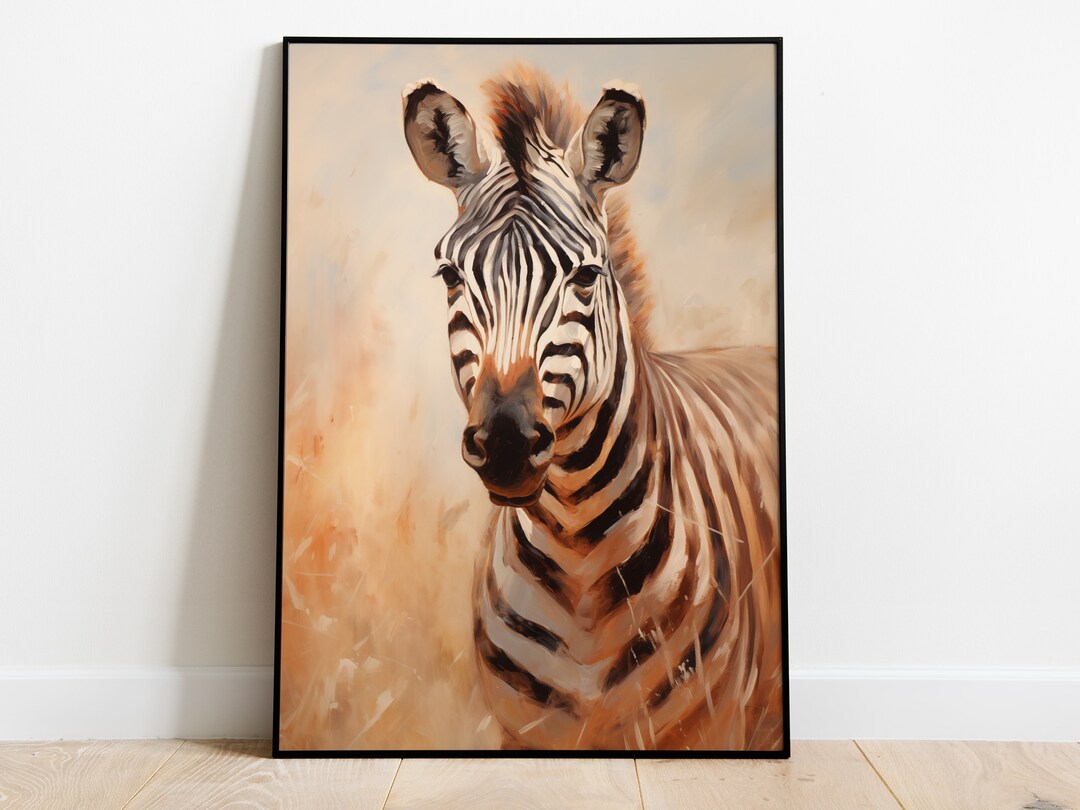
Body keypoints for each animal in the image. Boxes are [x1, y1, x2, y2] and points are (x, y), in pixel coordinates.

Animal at [402, 68, 784, 751]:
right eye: (449, 275)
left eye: (584, 276)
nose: (505, 443)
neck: (578, 560)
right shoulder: (526, 737)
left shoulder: (714, 731)